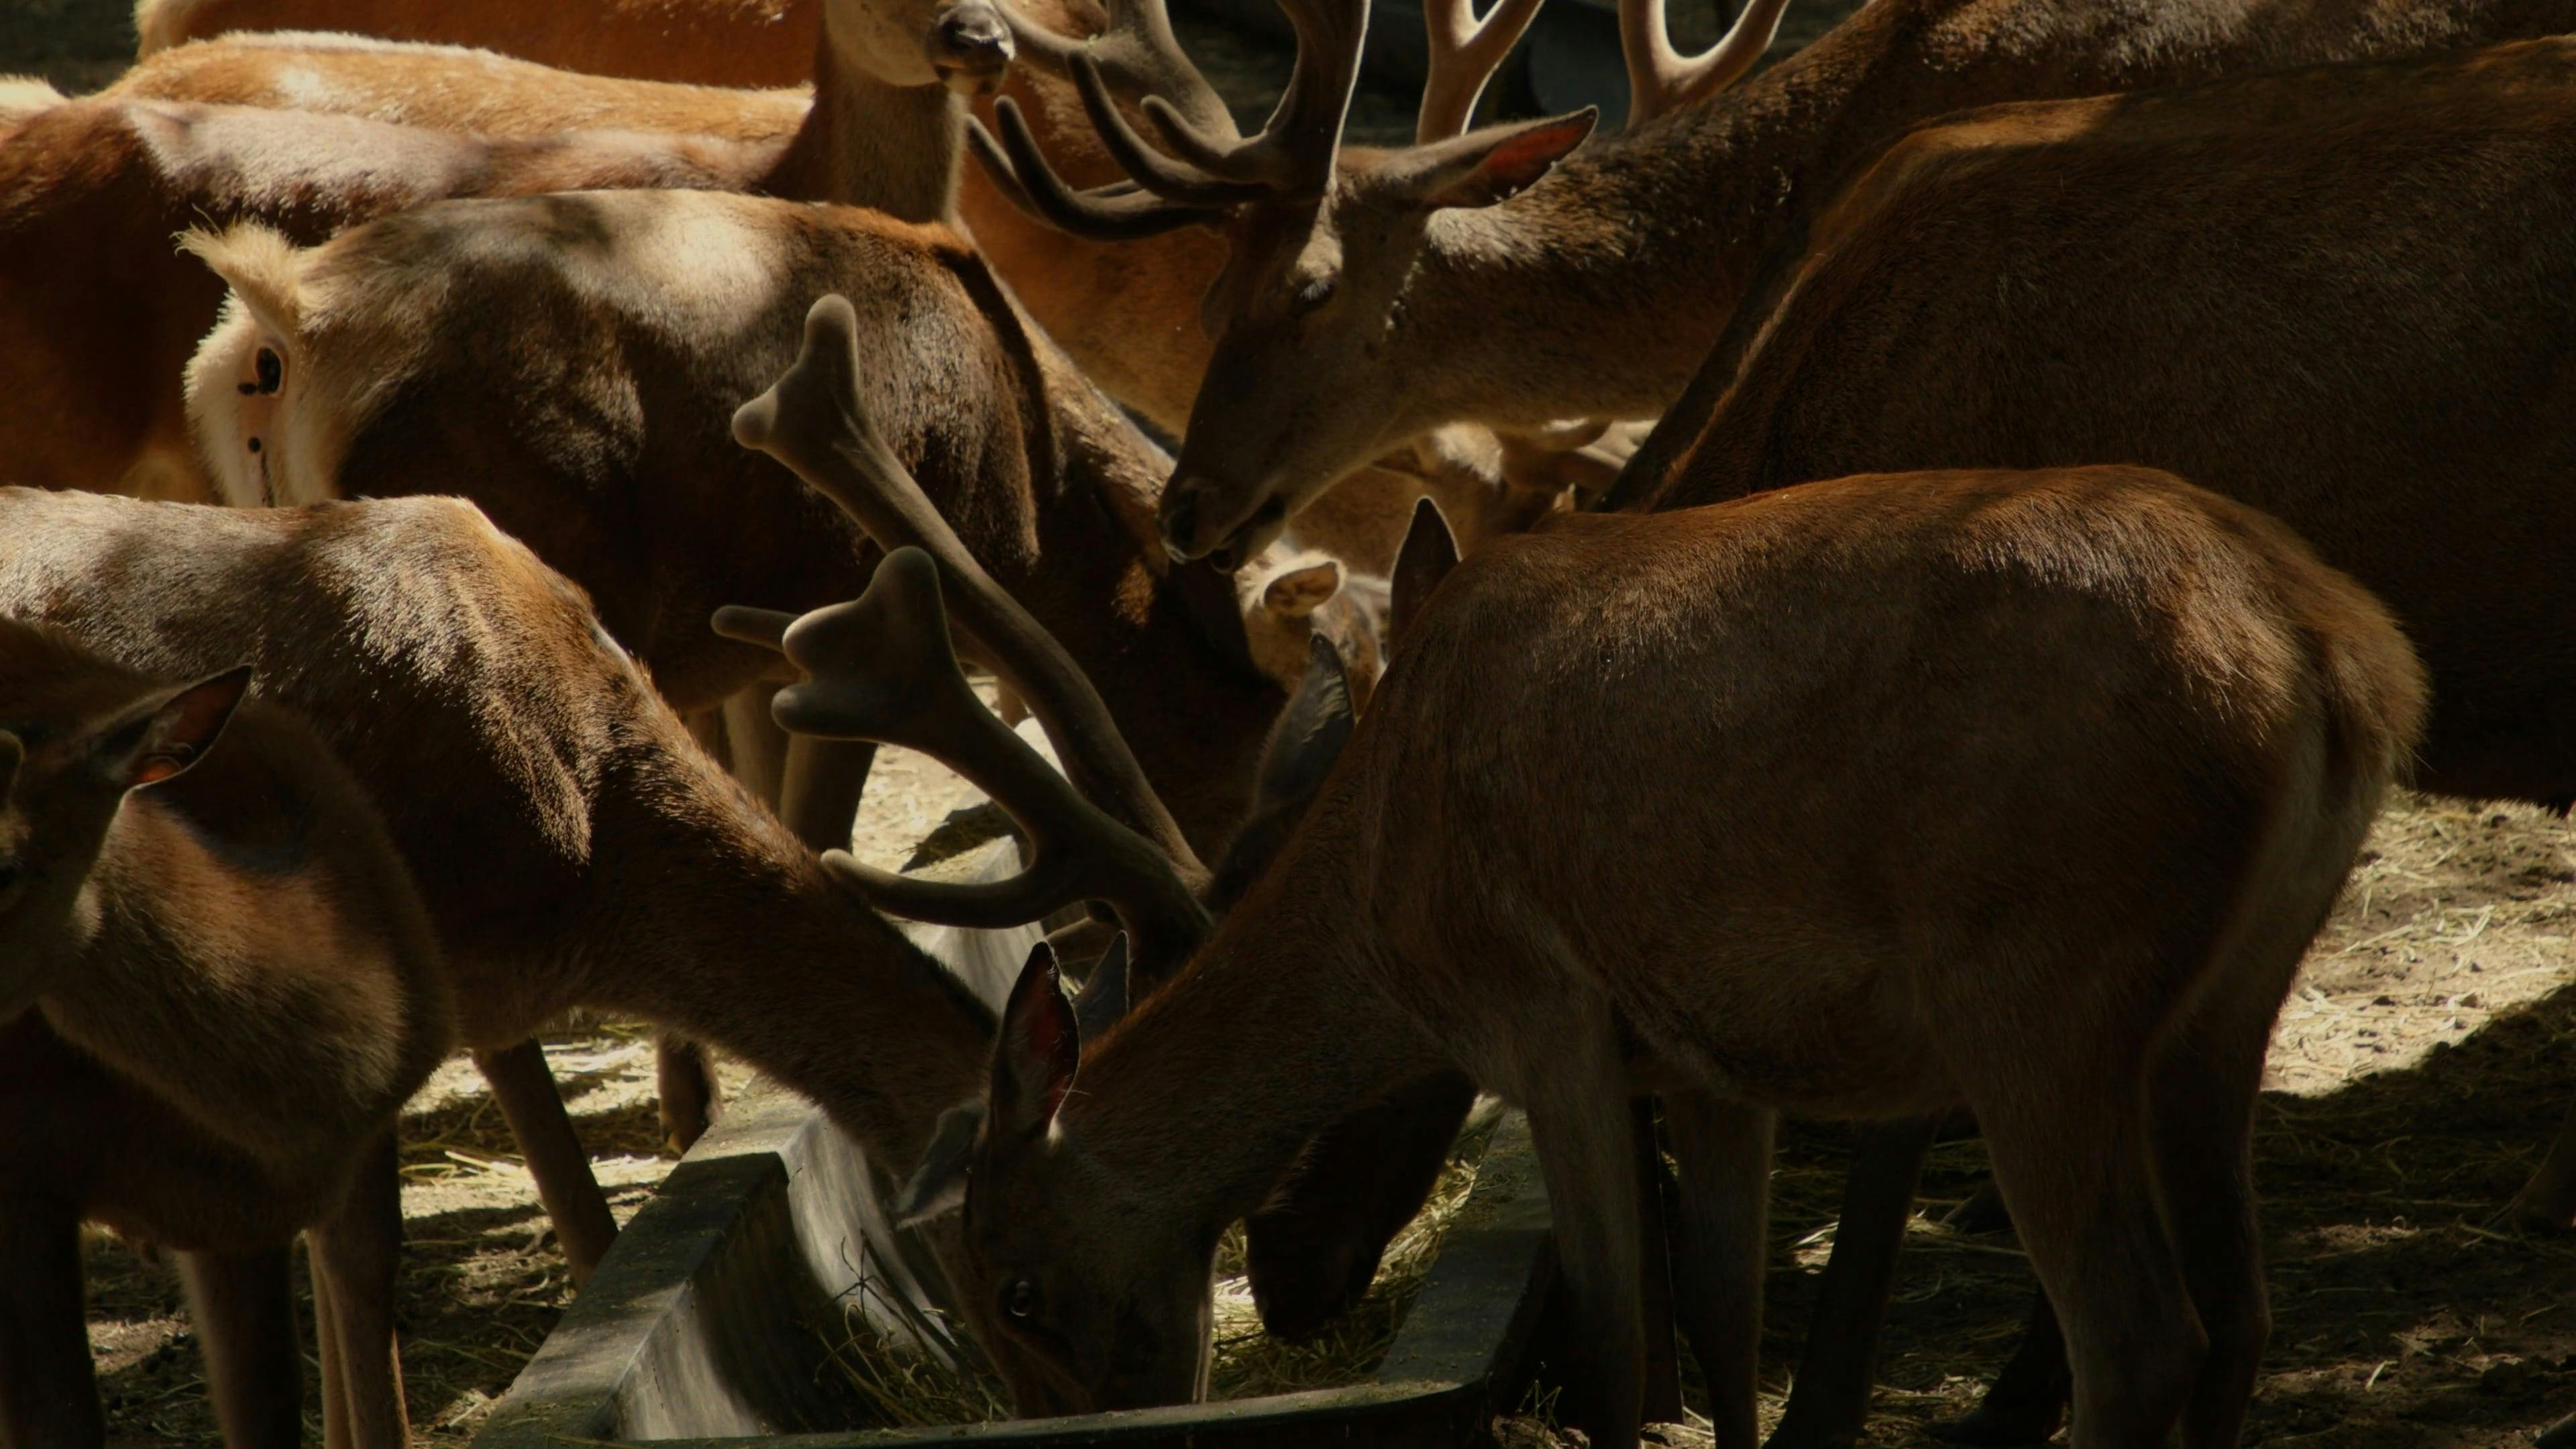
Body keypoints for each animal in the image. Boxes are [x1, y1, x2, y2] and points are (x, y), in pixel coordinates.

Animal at [709, 295, 2424, 1449]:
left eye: (1013, 1281)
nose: (1075, 1408)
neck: (1380, 905)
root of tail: (2336, 658)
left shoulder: (1540, 1007)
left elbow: (1611, 1347)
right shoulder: (1714, 1059)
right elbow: (1725, 1321)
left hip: (2039, 988)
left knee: (2138, 1335)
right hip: (2226, 996)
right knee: (2236, 1309)